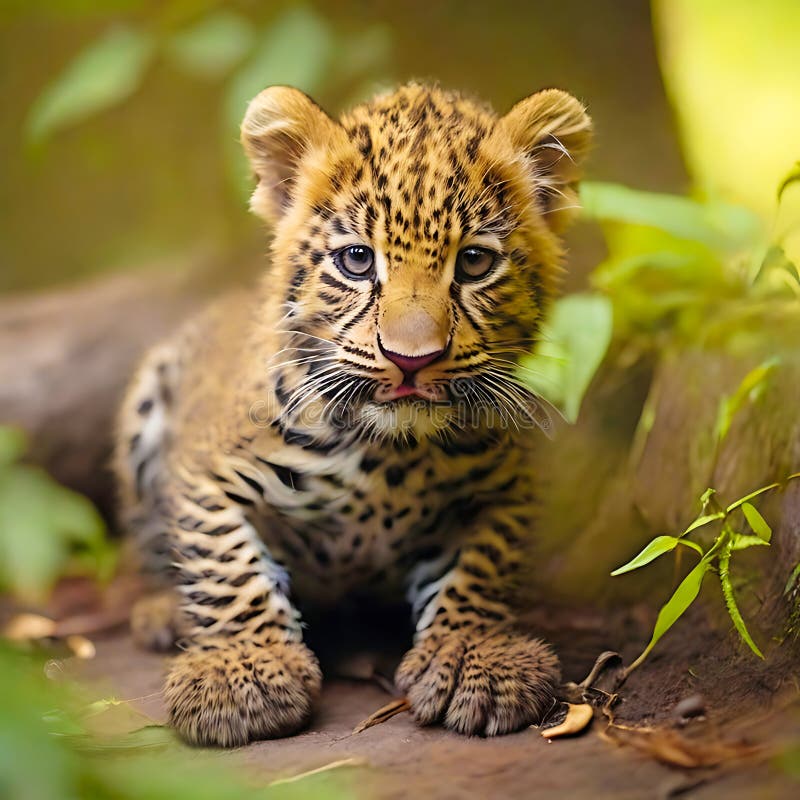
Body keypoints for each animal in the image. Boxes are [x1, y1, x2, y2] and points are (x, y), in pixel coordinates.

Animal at [114, 81, 592, 747]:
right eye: (358, 261)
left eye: (474, 263)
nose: (411, 360)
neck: (388, 455)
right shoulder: (206, 472)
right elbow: (226, 565)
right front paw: (243, 671)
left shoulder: (505, 488)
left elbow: (483, 565)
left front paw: (472, 653)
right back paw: (164, 612)